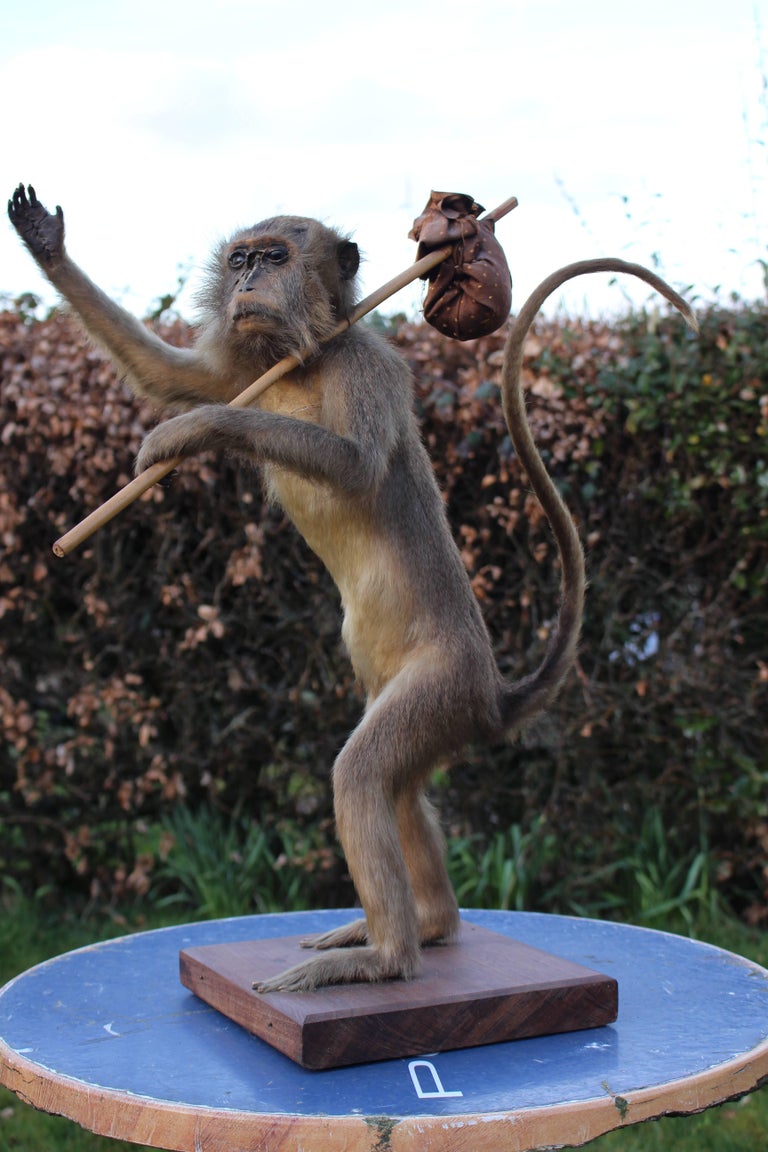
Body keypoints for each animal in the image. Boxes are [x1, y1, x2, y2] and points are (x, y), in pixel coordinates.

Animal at [8, 184, 695, 992]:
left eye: (275, 257)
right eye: (241, 259)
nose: (248, 281)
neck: (309, 360)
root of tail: (492, 696)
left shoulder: (364, 365)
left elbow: (353, 462)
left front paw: (199, 429)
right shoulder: (252, 364)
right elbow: (166, 373)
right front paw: (46, 245)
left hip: (440, 686)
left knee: (363, 777)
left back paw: (387, 955)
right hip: (417, 703)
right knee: (400, 791)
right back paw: (426, 928)